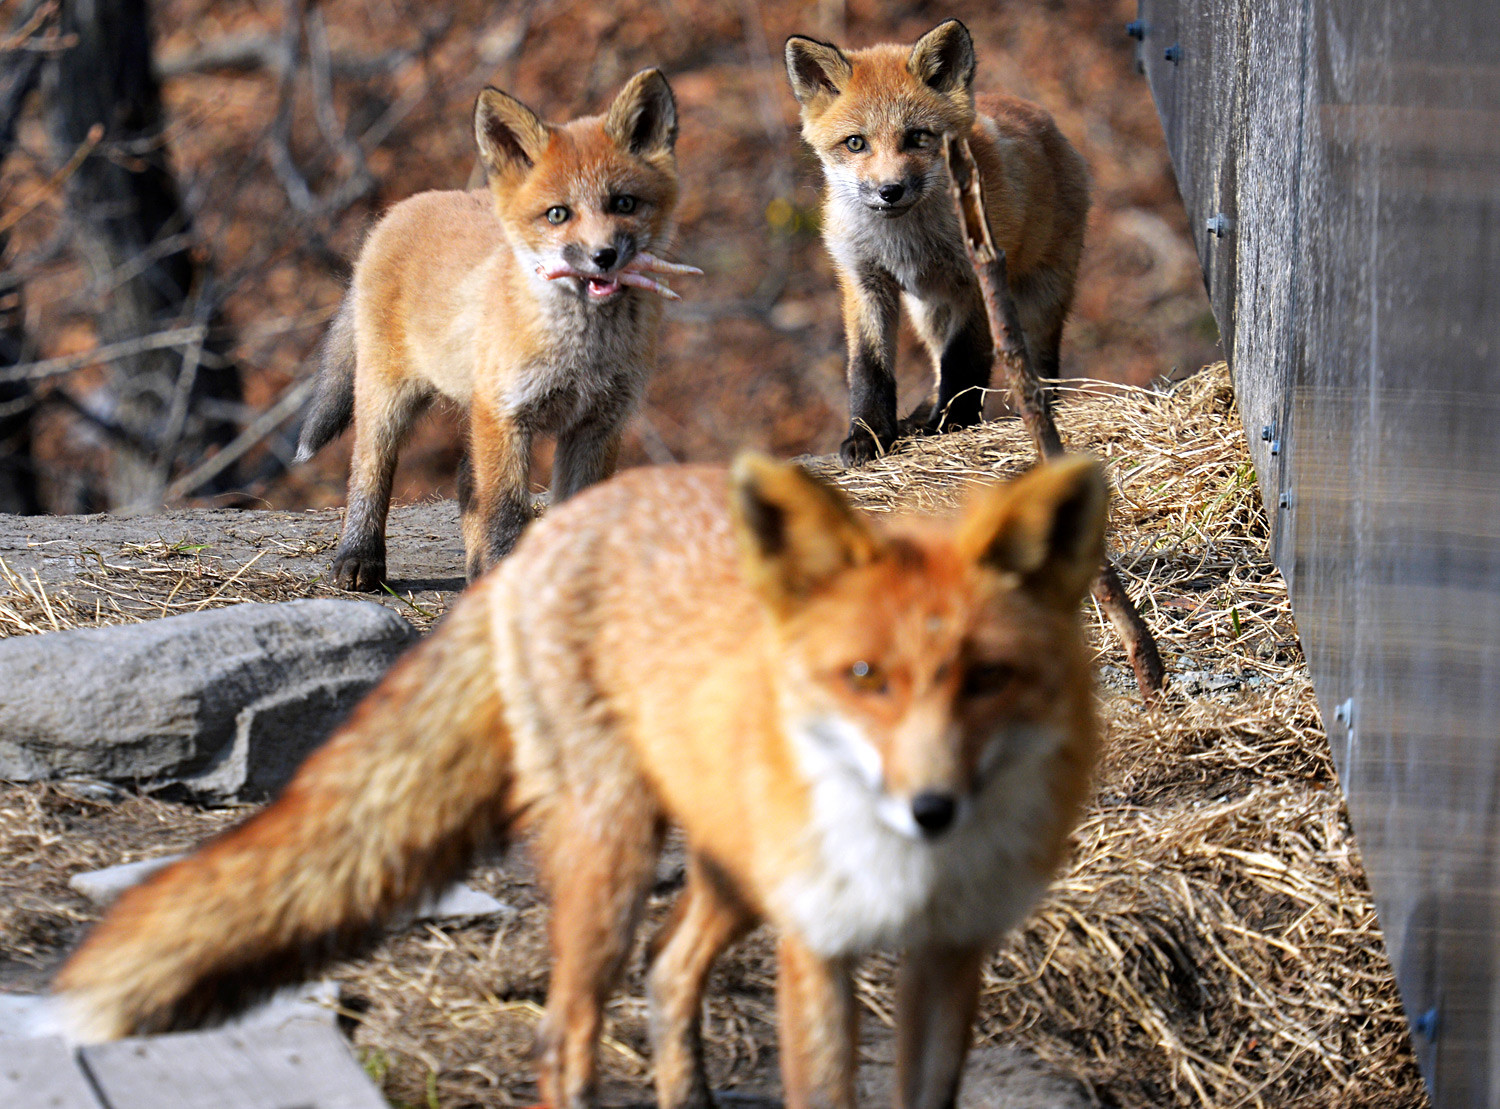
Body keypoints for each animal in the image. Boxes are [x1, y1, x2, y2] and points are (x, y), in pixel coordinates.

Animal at [54, 454, 1106, 1109]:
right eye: (865, 678)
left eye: (987, 678)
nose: (930, 808)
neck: (914, 871)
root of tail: (555, 526)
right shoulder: (818, 944)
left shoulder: (952, 952)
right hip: (618, 856)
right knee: (566, 1035)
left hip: (728, 872)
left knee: (669, 973)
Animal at [294, 68, 699, 591]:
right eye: (557, 214)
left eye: (624, 204)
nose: (604, 256)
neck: (582, 354)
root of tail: (399, 210)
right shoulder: (507, 414)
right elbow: (506, 515)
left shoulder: (599, 422)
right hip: (390, 397)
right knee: (369, 470)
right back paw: (360, 557)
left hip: (473, 406)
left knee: (467, 480)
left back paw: (473, 570)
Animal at [786, 19, 1091, 467]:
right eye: (856, 143)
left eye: (917, 137)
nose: (889, 191)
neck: (905, 241)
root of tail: (1042, 117)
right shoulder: (864, 281)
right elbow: (868, 367)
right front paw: (868, 435)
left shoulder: (977, 280)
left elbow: (963, 362)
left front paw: (953, 425)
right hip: (928, 310)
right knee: (935, 364)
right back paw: (920, 415)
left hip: (1040, 300)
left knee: (1041, 366)